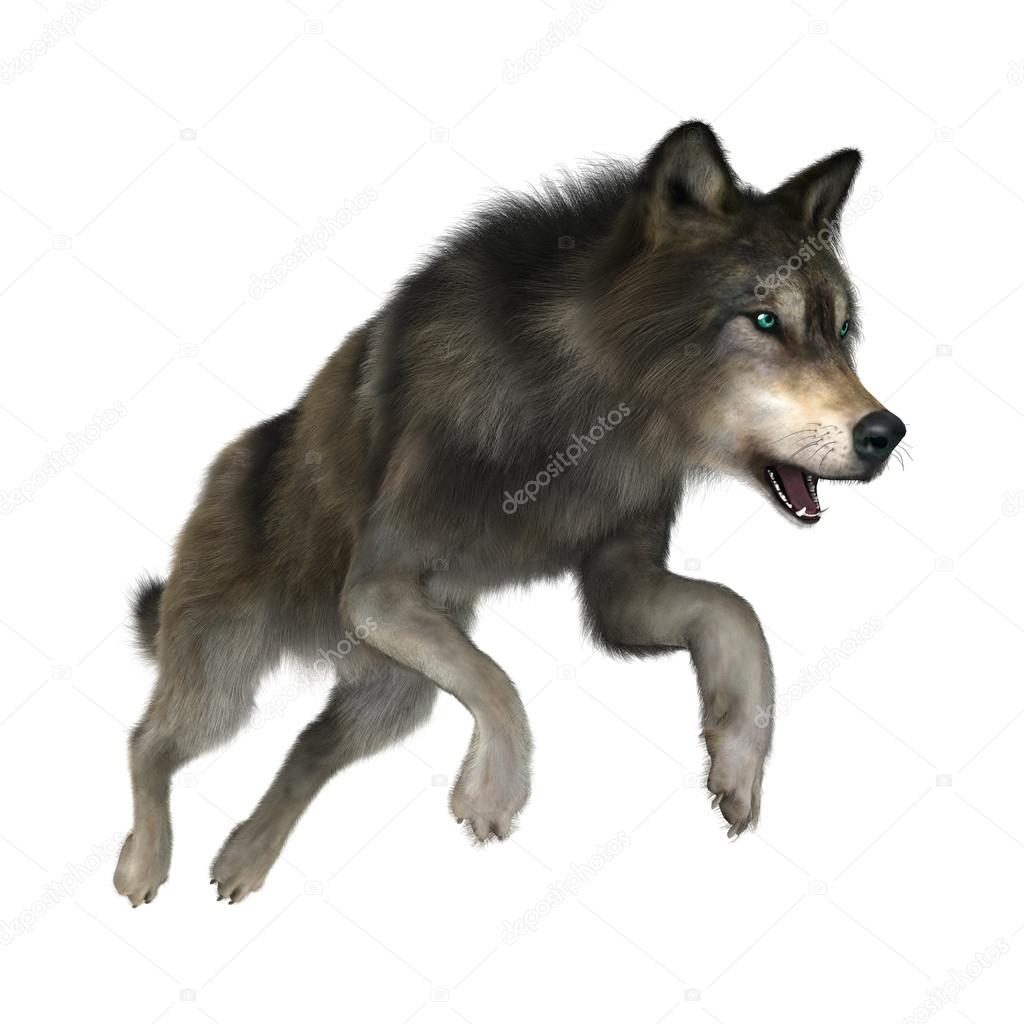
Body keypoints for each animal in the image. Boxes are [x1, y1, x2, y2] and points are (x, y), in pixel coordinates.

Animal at [114, 121, 906, 906]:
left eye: (840, 331)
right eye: (765, 320)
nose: (888, 433)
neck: (584, 413)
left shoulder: (621, 589)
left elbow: (736, 613)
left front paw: (737, 763)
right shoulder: (377, 590)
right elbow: (497, 680)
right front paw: (494, 790)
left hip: (392, 700)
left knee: (306, 752)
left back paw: (243, 860)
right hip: (227, 687)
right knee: (147, 745)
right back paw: (142, 865)